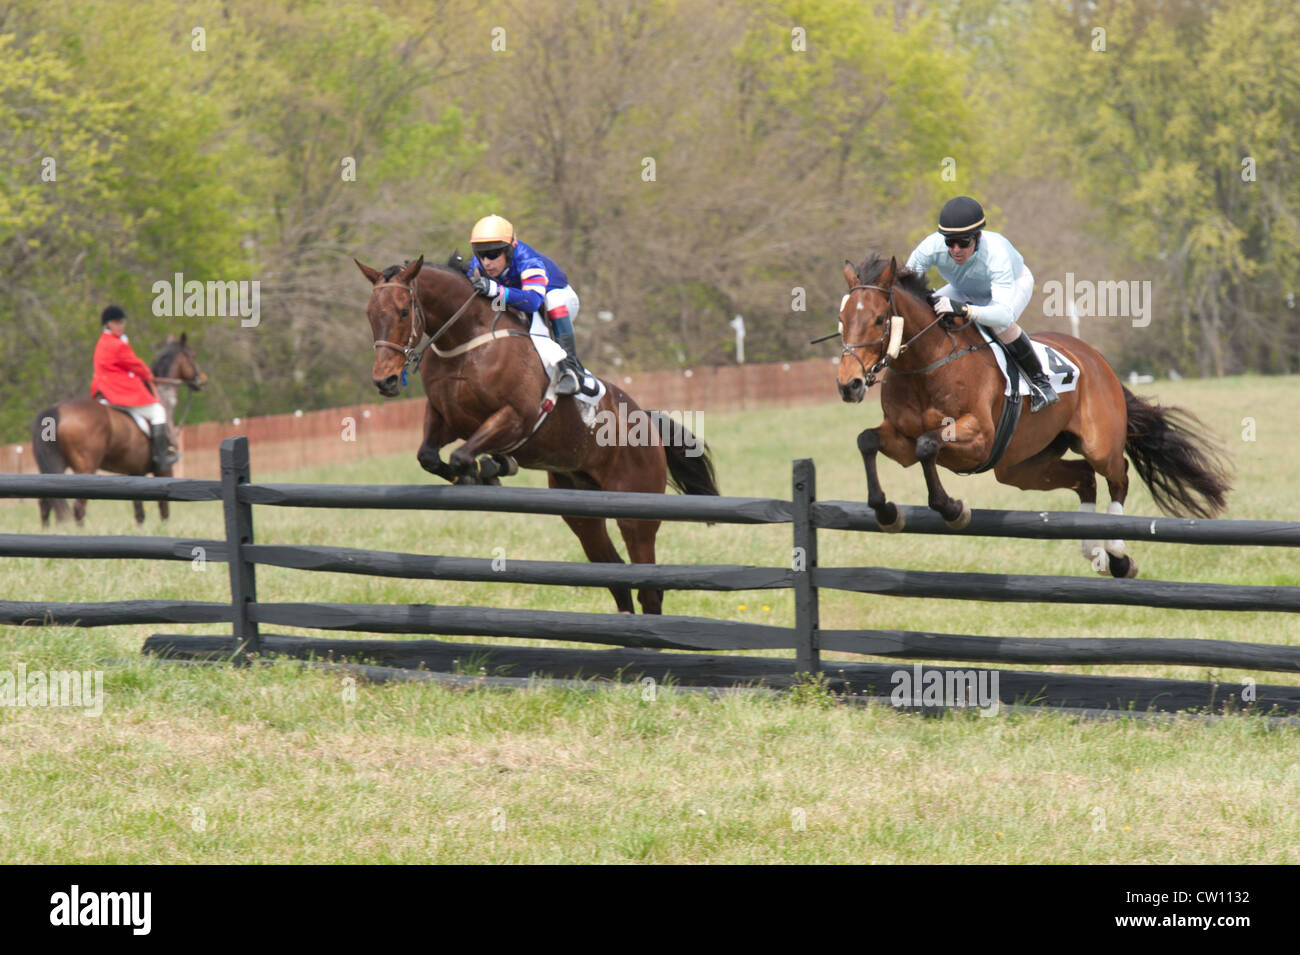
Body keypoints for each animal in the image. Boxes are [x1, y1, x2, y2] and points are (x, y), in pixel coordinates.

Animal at [32, 333, 208, 526]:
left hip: (55, 467)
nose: (203, 379)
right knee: (78, 509)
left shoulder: (136, 472)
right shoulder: (164, 470)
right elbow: (164, 510)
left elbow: (139, 514)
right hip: (86, 468)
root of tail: (56, 410)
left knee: (45, 504)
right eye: (193, 355)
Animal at [354, 253, 719, 614]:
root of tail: (646, 422)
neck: (466, 343)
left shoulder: (518, 417)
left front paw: (489, 469)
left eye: (404, 311)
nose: (385, 381)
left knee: (649, 588)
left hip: (636, 515)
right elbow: (429, 456)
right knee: (616, 576)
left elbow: (461, 455)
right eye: (370, 314)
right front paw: (484, 472)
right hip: (582, 513)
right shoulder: (446, 417)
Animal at [833, 255, 1232, 578]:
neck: (927, 365)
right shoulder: (900, 439)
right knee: (1083, 477)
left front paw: (951, 508)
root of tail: (1097, 359)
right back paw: (1092, 549)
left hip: (1097, 444)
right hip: (1021, 467)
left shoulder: (979, 438)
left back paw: (1117, 555)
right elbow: (868, 440)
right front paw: (886, 512)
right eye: (841, 319)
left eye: (879, 319)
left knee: (1117, 476)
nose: (849, 385)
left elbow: (928, 445)